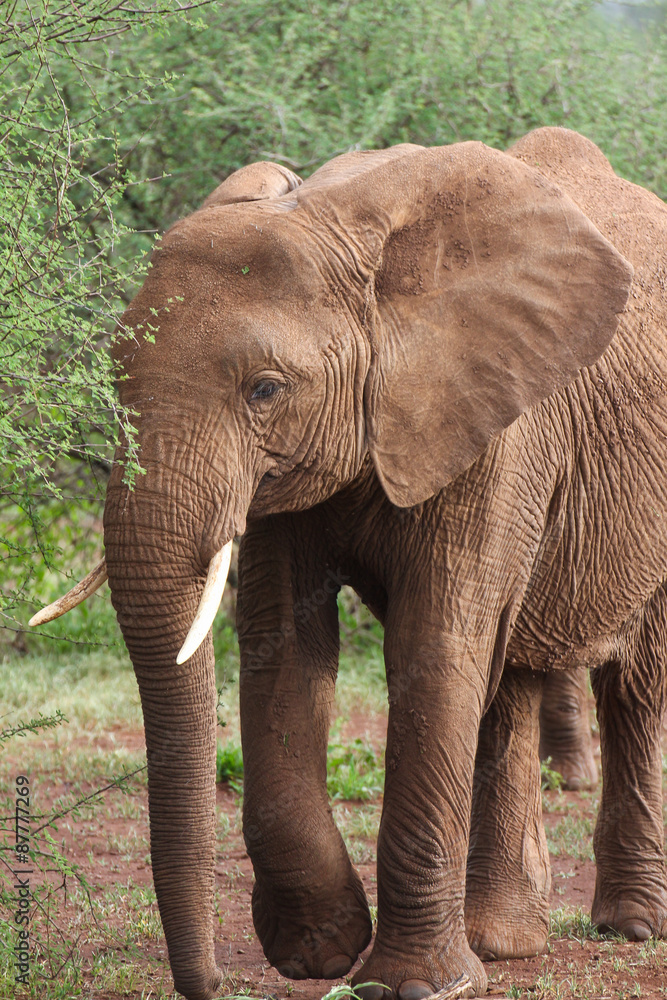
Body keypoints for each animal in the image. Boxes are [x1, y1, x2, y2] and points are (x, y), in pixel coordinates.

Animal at [30, 127, 667, 1000]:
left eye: (265, 390)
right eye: (116, 376)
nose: (211, 984)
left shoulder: (499, 427)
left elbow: (432, 648)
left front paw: (408, 986)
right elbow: (280, 648)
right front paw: (317, 955)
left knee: (634, 685)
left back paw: (627, 927)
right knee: (507, 681)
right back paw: (501, 943)